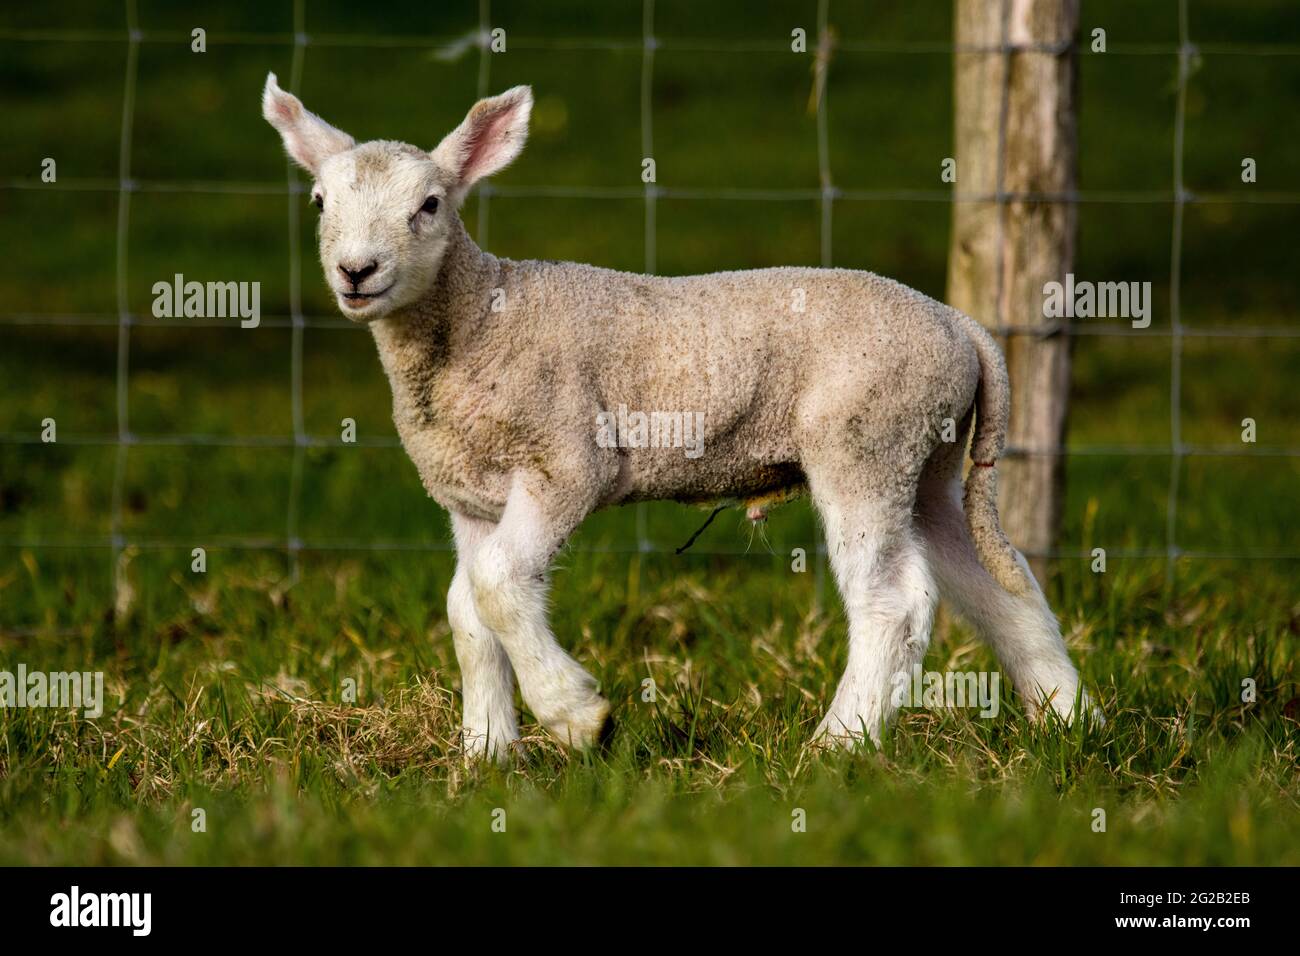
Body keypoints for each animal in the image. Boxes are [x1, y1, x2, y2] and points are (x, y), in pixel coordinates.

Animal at [262, 73, 1091, 761]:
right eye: (319, 204)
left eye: (430, 205)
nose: (356, 272)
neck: (478, 320)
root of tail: (962, 328)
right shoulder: (470, 494)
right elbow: (469, 613)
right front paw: (489, 754)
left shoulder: (567, 462)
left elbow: (498, 587)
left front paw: (579, 717)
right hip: (933, 460)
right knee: (1000, 582)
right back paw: (1068, 718)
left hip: (869, 442)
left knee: (895, 603)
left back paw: (841, 743)